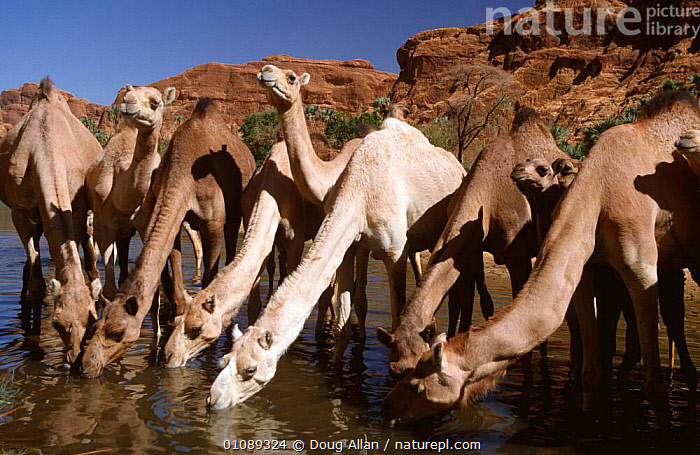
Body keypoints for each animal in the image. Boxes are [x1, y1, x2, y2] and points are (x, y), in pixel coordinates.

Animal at [0, 77, 102, 364]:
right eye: (57, 324)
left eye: (92, 319)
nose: (75, 358)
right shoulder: (20, 213)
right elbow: (36, 286)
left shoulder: (75, 208)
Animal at [86, 84, 176, 299]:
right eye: (125, 97)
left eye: (155, 101)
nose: (128, 103)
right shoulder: (103, 225)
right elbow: (109, 289)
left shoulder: (145, 222)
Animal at [205, 65, 467, 409]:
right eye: (225, 360)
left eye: (251, 369)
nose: (213, 399)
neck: (359, 187)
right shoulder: (350, 248)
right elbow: (343, 320)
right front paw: (337, 383)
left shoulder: (394, 252)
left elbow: (394, 314)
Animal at [376, 109, 561, 380]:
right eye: (394, 371)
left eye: (414, 367)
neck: (486, 193)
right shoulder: (468, 252)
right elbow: (467, 307)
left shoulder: (517, 257)